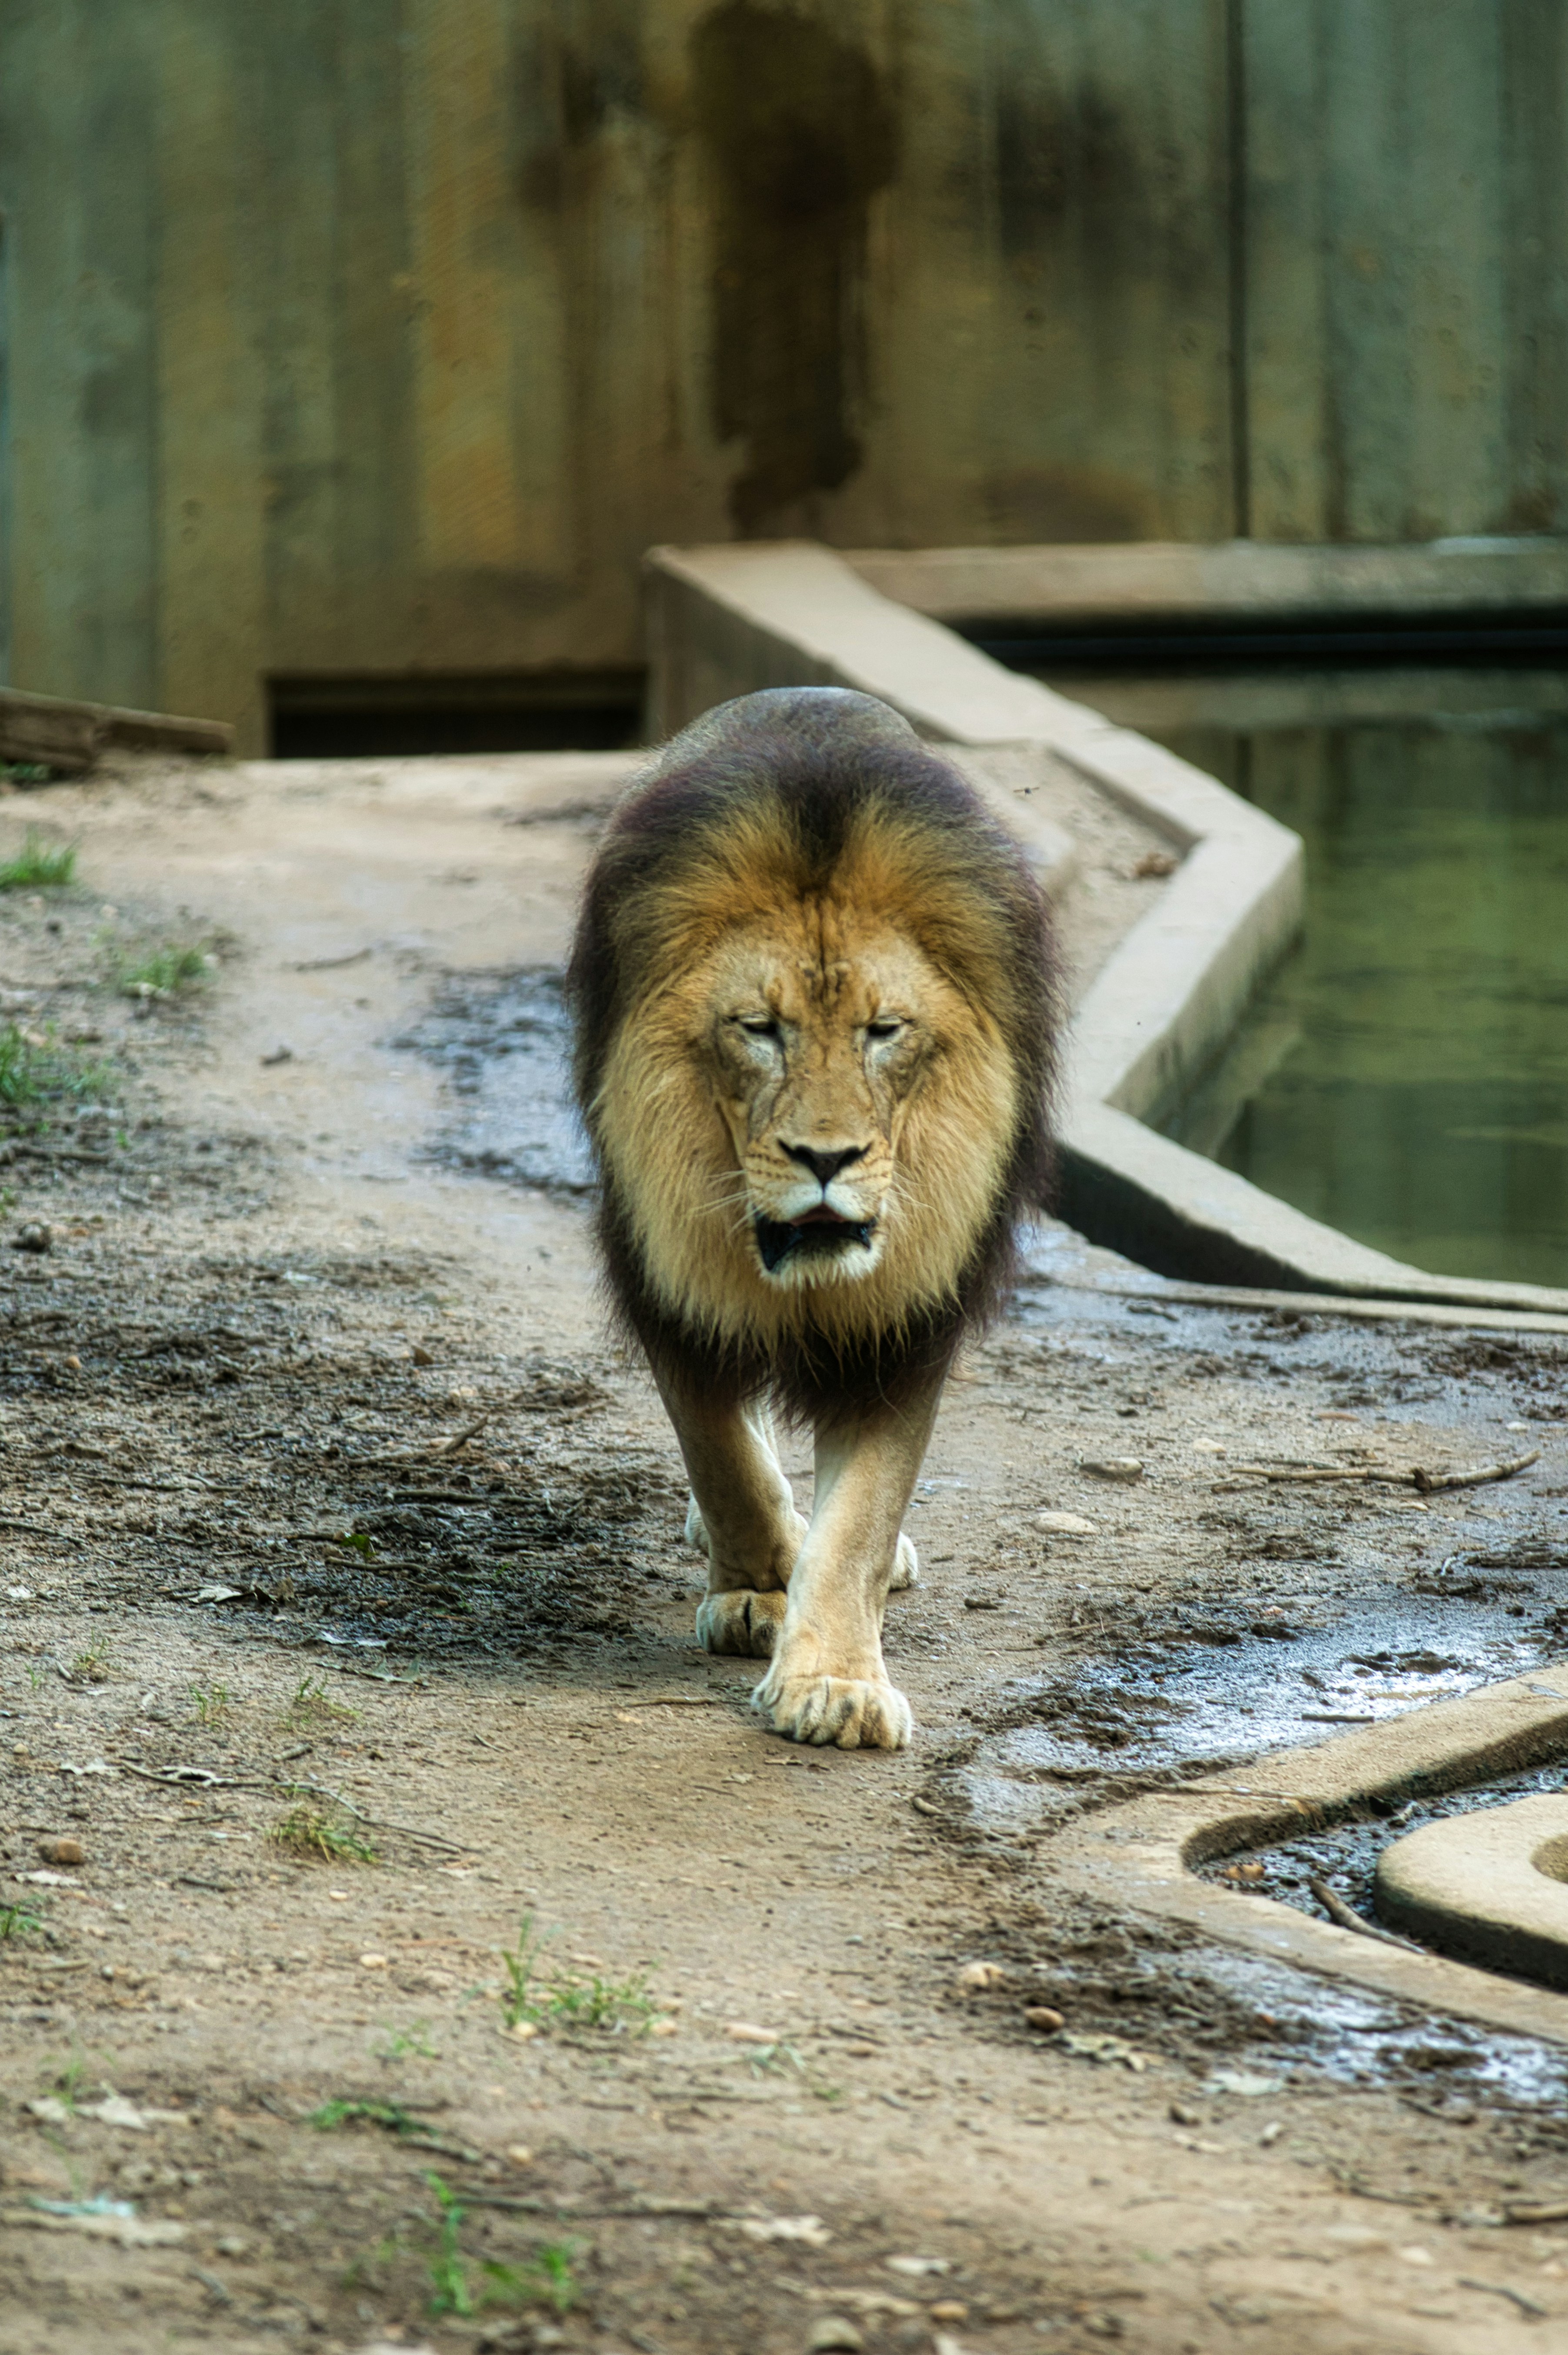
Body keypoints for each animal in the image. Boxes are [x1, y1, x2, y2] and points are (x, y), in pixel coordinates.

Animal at [567, 687, 1057, 1749]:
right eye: (760, 1028)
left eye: (885, 1031)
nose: (826, 1159)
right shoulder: (671, 1280)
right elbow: (722, 1456)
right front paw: (757, 1591)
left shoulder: (903, 1323)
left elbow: (863, 1516)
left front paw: (836, 1683)